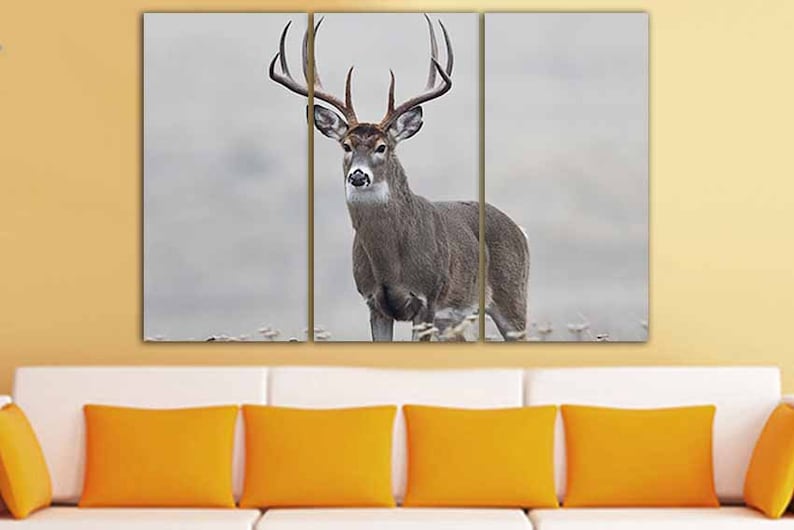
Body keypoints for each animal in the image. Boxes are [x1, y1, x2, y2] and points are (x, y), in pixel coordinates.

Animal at [269, 16, 529, 341]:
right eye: (346, 146)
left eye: (382, 147)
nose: (358, 175)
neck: (390, 264)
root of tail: (520, 231)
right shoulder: (374, 303)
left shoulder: (427, 300)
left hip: (512, 299)